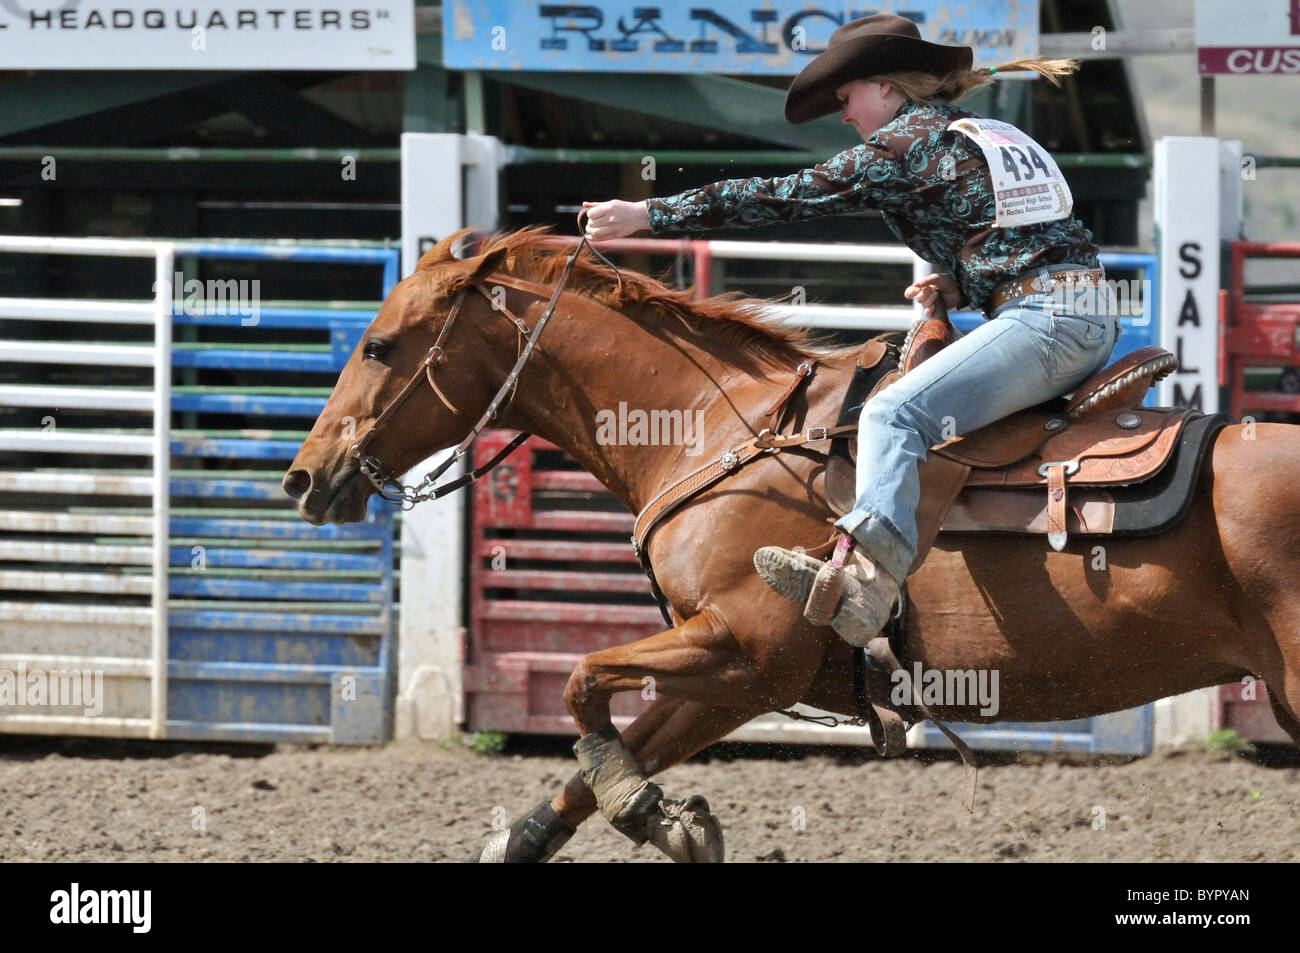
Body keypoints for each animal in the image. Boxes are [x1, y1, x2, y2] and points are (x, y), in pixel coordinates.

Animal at [282, 226, 1300, 862]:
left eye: (378, 345)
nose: (303, 476)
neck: (711, 429)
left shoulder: (747, 646)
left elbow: (579, 679)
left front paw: (649, 808)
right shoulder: (740, 674)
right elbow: (599, 757)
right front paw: (643, 816)